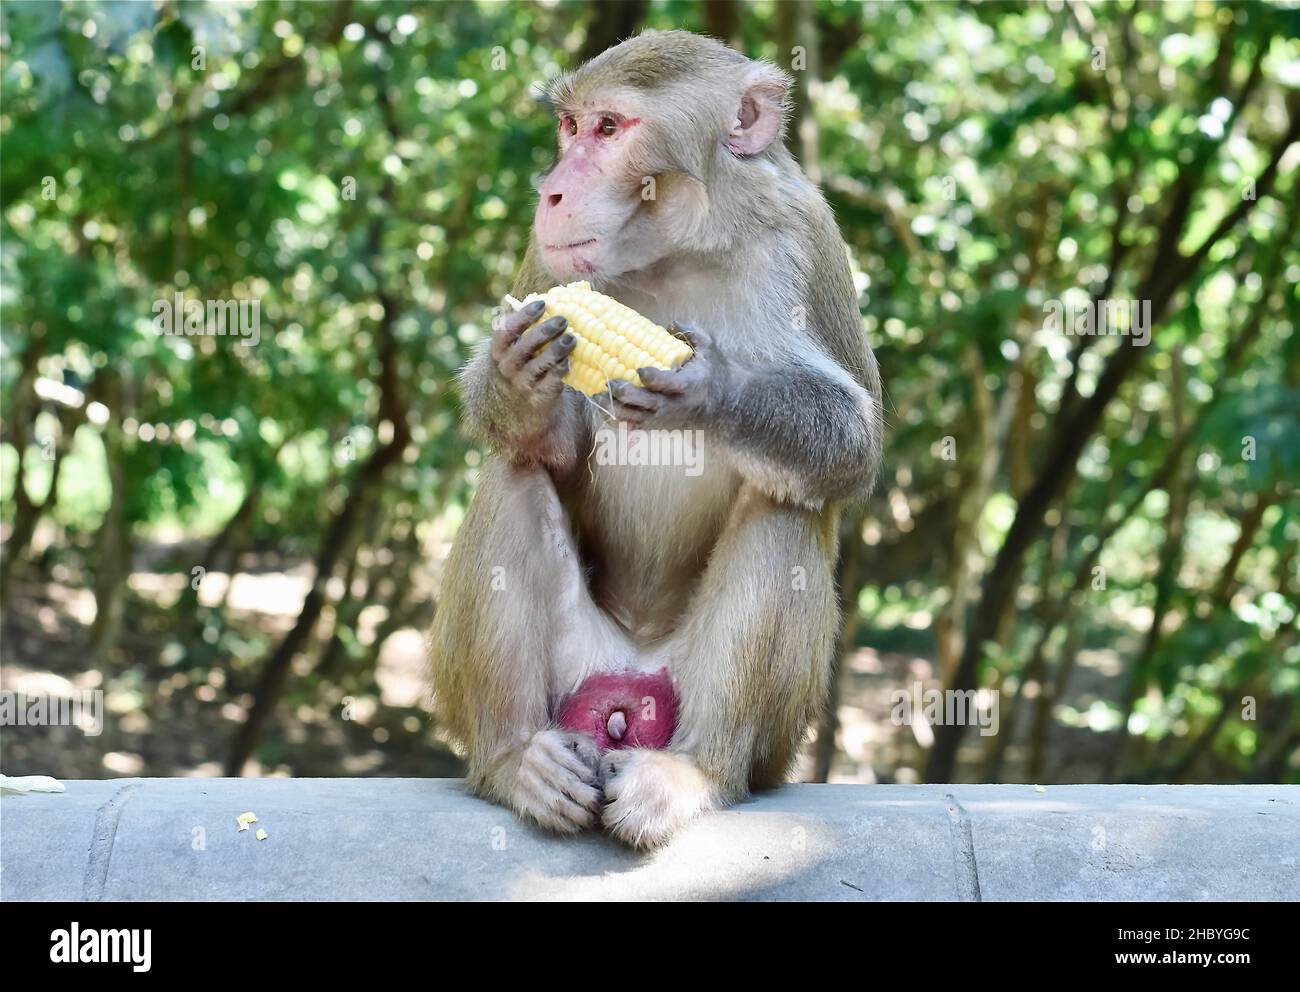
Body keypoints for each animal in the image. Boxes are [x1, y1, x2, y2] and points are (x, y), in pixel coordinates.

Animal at [429, 30, 883, 849]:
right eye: (571, 126)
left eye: (611, 129)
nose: (551, 192)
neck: (684, 248)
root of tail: (630, 673)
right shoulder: (549, 261)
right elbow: (546, 446)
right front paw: (517, 376)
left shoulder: (808, 236)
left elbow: (854, 444)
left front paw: (710, 390)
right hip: (572, 675)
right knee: (512, 474)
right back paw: (515, 760)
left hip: (756, 731)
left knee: (784, 507)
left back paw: (693, 773)